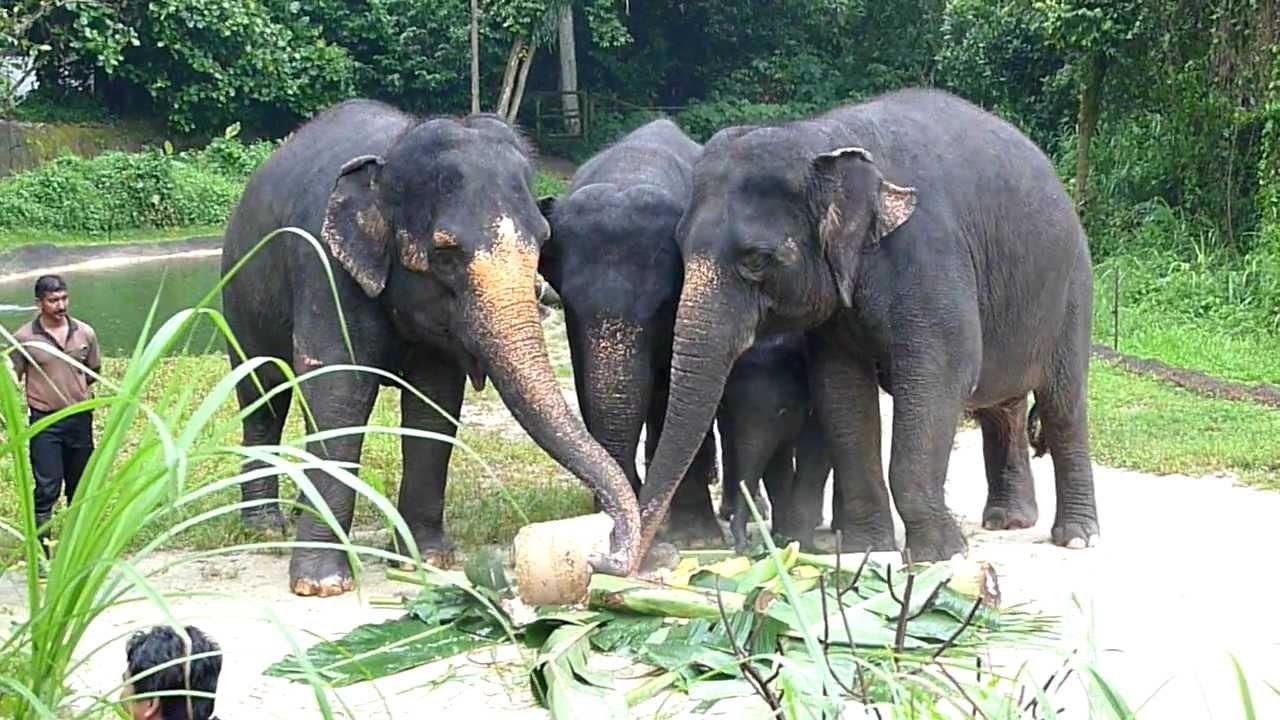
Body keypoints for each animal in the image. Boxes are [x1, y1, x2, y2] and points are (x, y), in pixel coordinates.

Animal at [220, 99, 640, 596]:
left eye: (543, 241)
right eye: (445, 252)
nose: (606, 556)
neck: (391, 154)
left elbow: (433, 403)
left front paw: (428, 559)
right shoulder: (322, 265)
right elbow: (337, 392)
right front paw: (321, 584)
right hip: (237, 291)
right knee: (261, 396)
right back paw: (264, 527)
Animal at [717, 333, 836, 554]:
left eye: (783, 411)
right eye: (726, 406)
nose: (742, 545)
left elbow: (814, 456)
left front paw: (802, 545)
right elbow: (775, 468)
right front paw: (781, 538)